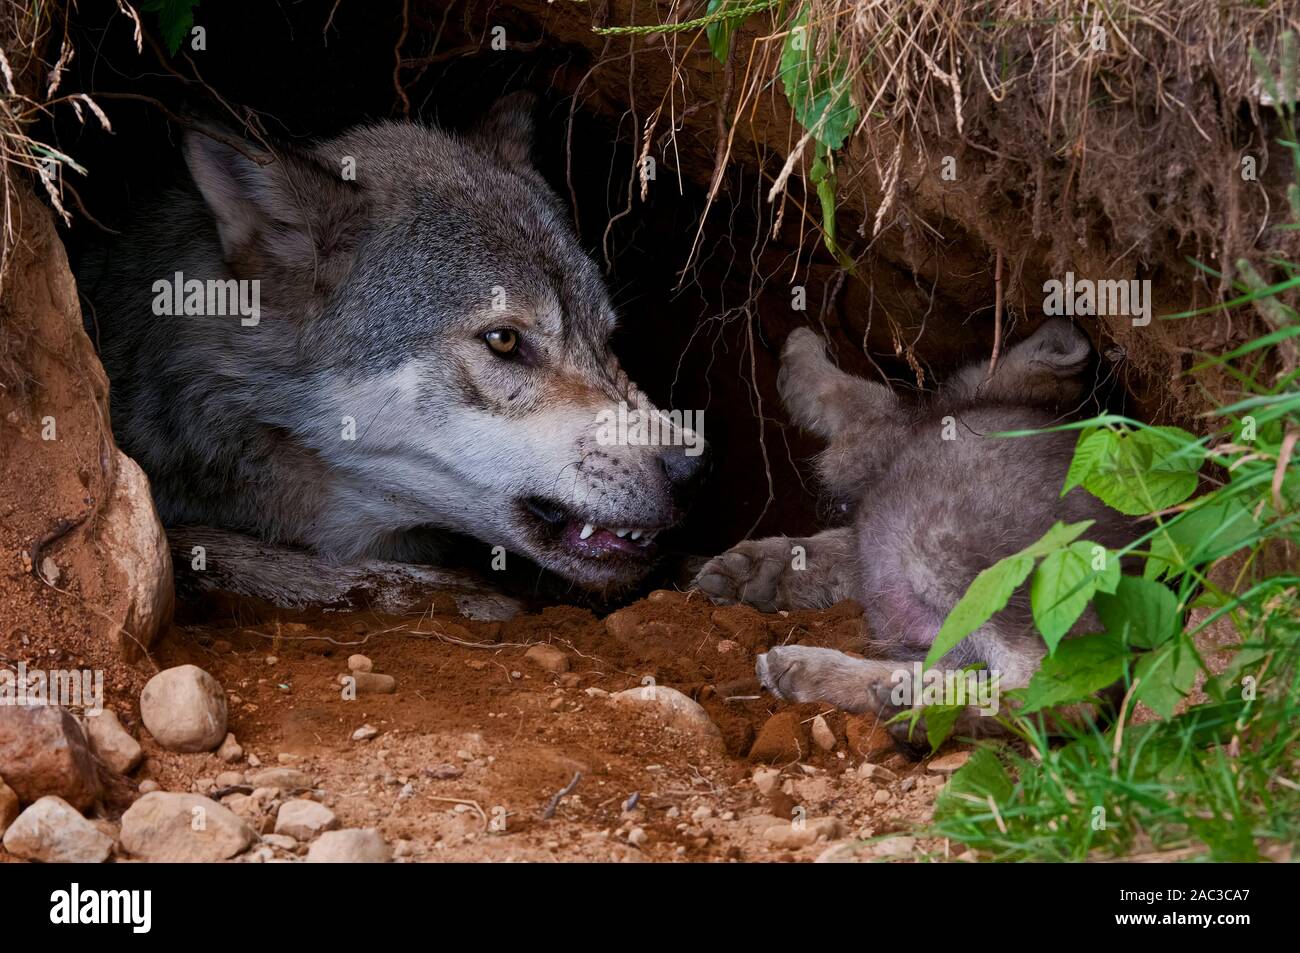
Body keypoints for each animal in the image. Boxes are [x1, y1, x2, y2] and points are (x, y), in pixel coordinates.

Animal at [692, 319, 1133, 746]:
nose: (1063, 326)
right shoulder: (869, 542)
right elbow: (823, 553)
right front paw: (745, 573)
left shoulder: (878, 433)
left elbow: (848, 392)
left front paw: (801, 346)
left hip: (950, 549)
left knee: (1060, 691)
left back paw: (914, 703)